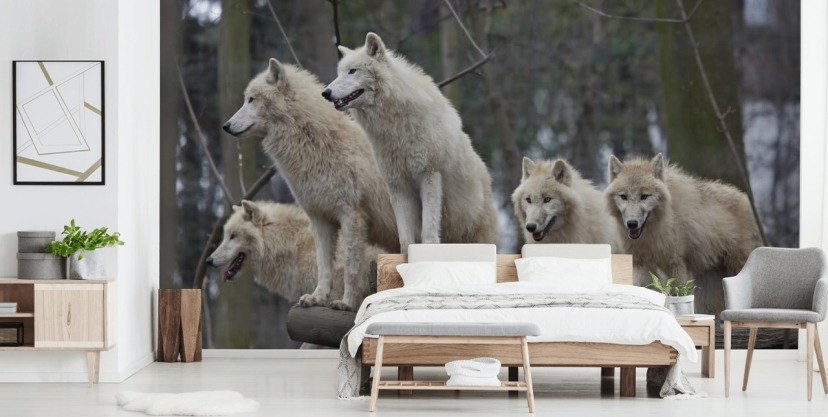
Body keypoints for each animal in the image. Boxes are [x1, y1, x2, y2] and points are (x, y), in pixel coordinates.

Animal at [321, 32, 498, 249]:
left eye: (352, 71)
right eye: (339, 73)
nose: (326, 93)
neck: (395, 129)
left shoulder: (429, 175)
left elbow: (428, 234)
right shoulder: (398, 185)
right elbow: (405, 239)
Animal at [604, 153, 762, 295]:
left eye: (644, 196)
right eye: (623, 196)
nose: (632, 224)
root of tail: (748, 201)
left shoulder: (676, 264)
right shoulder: (639, 265)